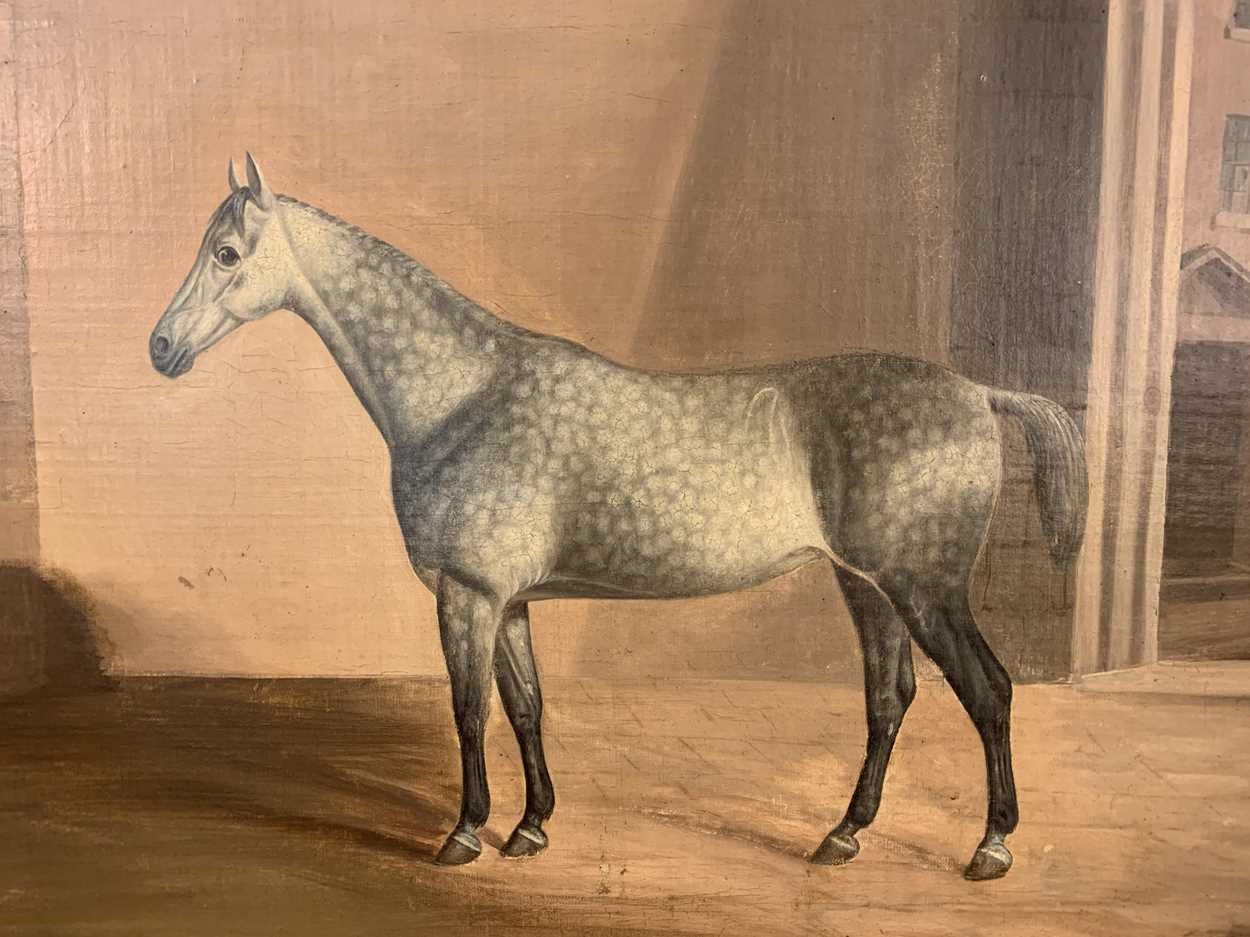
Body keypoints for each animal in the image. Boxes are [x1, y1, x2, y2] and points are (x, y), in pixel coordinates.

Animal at [148, 155, 1087, 882]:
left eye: (226, 252)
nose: (161, 347)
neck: (461, 394)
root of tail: (978, 392)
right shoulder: (511, 601)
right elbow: (526, 705)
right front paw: (531, 825)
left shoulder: (467, 594)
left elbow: (468, 710)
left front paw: (465, 831)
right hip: (868, 587)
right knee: (889, 700)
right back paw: (844, 834)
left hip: (926, 589)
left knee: (989, 691)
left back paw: (991, 846)